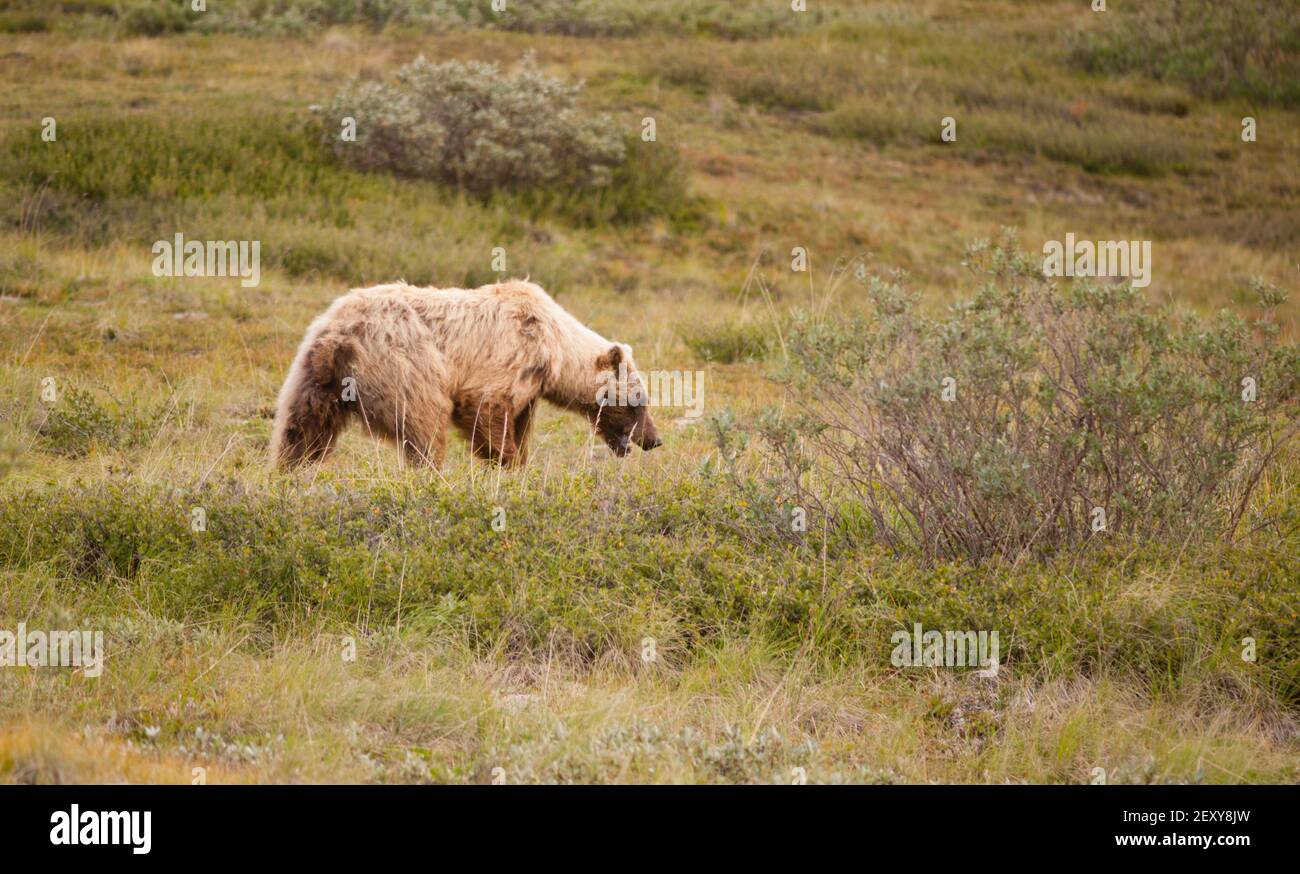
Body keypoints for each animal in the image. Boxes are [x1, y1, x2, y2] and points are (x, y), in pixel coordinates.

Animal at [269, 279, 662, 468]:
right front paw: (507, 461)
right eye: (638, 402)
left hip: (313, 375)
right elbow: (486, 407)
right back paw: (431, 472)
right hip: (403, 364)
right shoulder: (513, 353)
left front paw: (517, 460)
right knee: (425, 424)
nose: (654, 440)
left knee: (302, 429)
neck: (556, 349)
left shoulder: (531, 388)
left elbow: (519, 421)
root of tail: (338, 336)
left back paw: (288, 469)